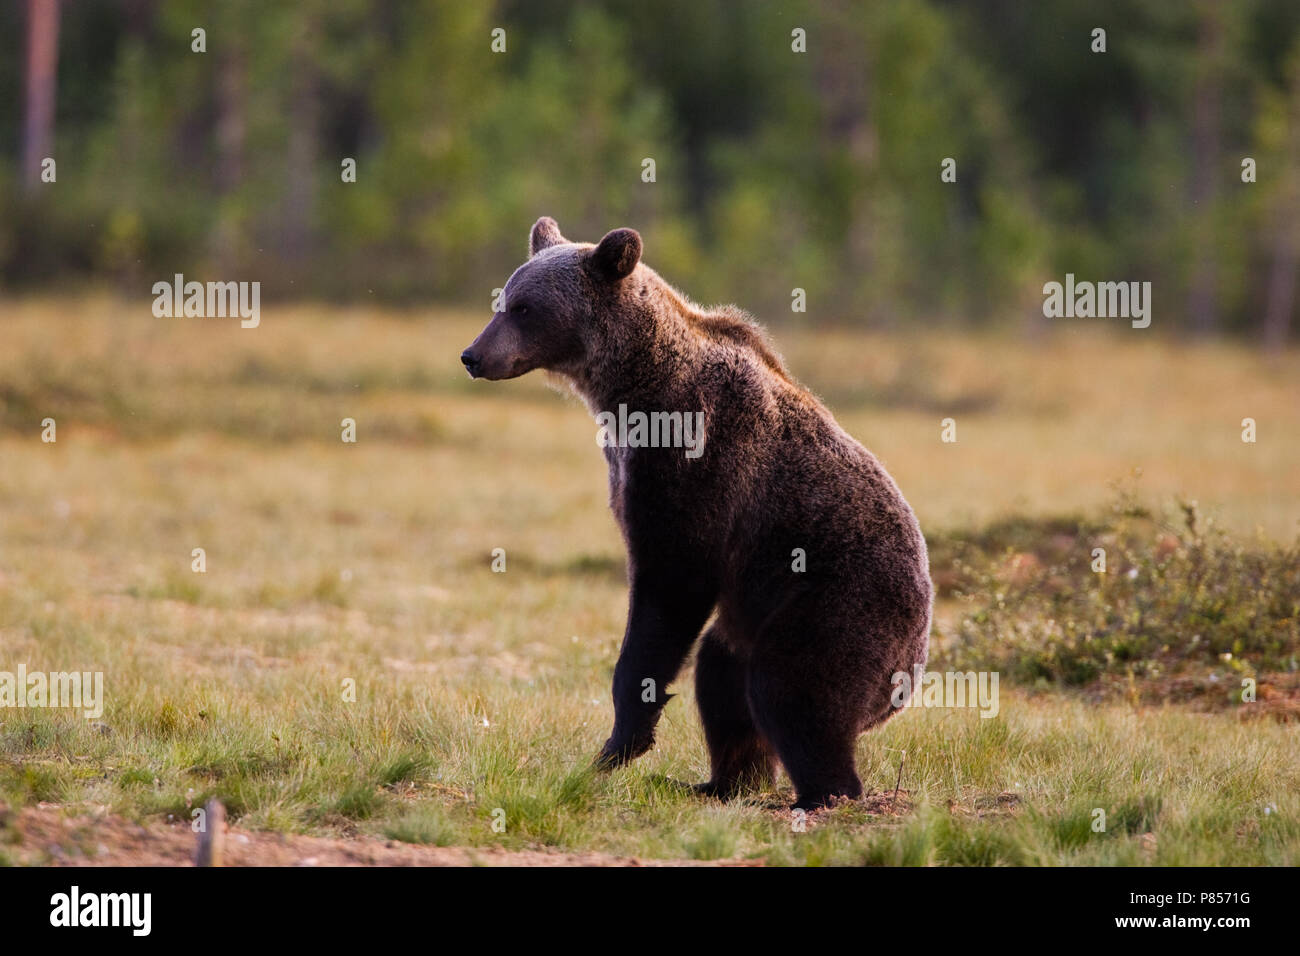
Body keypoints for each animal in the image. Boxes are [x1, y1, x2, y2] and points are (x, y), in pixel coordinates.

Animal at [461, 217, 932, 809]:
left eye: (524, 308)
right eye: (503, 300)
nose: (473, 355)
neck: (630, 391)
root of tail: (915, 662)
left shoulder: (698, 462)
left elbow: (671, 583)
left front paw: (620, 743)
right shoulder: (627, 463)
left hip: (839, 604)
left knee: (791, 690)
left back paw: (818, 794)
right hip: (753, 618)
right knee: (724, 678)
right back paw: (717, 783)